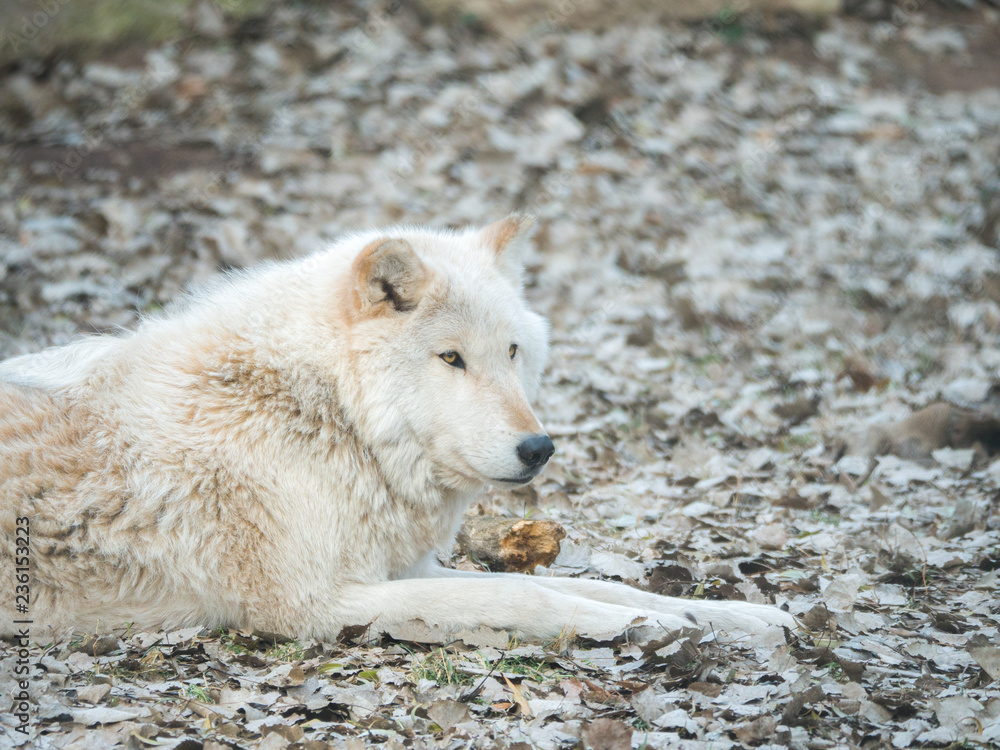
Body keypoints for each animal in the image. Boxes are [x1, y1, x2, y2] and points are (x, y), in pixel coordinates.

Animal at [0, 216, 795, 642]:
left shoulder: (402, 568)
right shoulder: (314, 605)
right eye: (451, 358)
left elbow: (609, 587)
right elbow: (529, 596)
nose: (539, 448)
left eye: (511, 352)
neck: (322, 412)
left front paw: (732, 616)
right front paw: (655, 631)